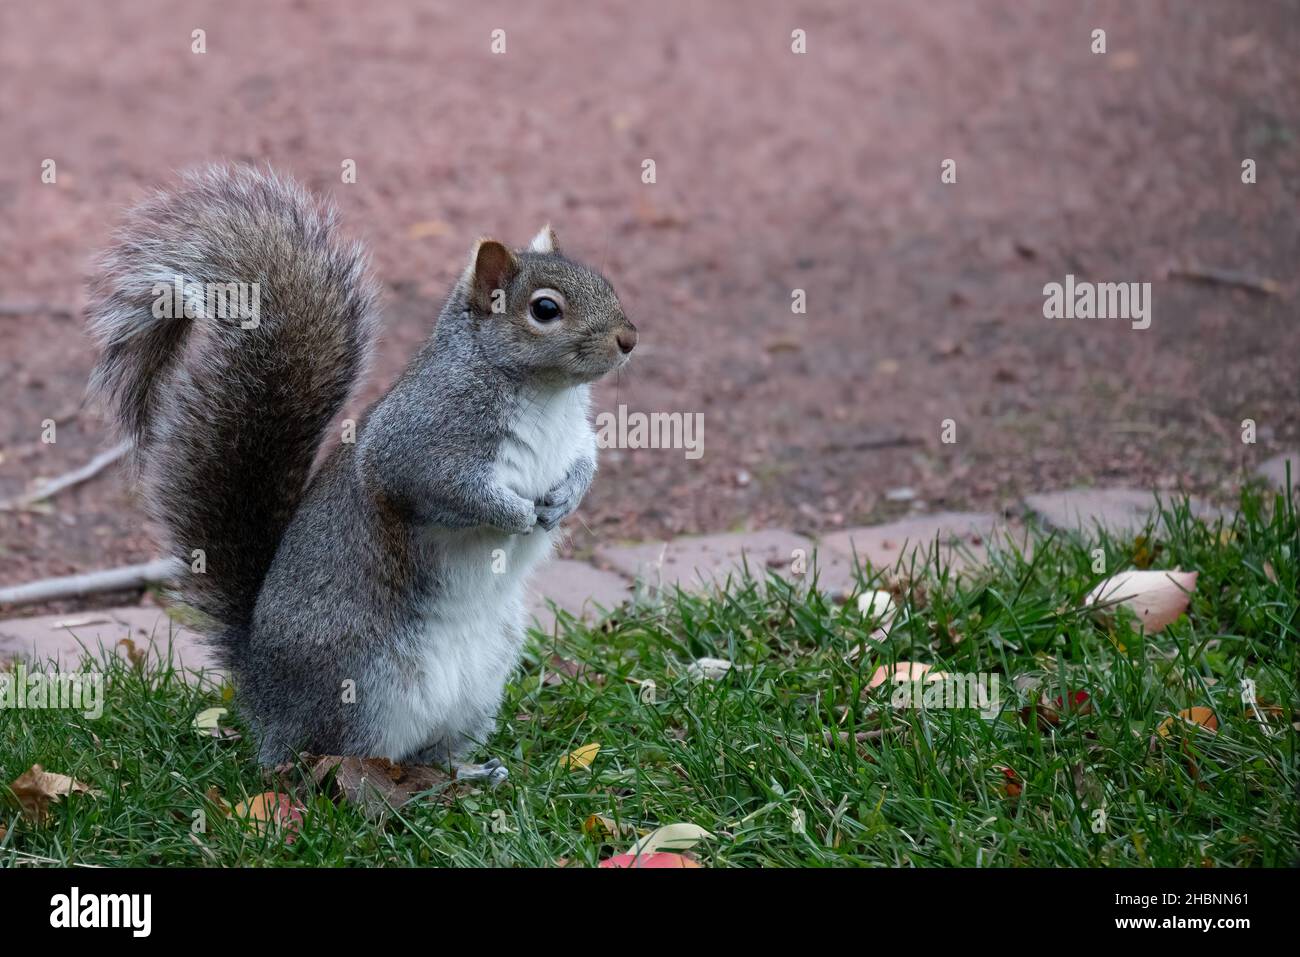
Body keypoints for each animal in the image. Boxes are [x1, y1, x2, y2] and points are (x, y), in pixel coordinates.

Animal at [88, 164, 637, 781]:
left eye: (602, 280)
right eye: (545, 309)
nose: (629, 338)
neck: (546, 395)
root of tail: (265, 696)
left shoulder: (575, 439)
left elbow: (584, 465)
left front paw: (563, 501)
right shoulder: (418, 444)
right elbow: (446, 488)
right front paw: (515, 513)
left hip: (481, 681)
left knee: (432, 754)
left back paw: (469, 774)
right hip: (365, 685)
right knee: (333, 758)